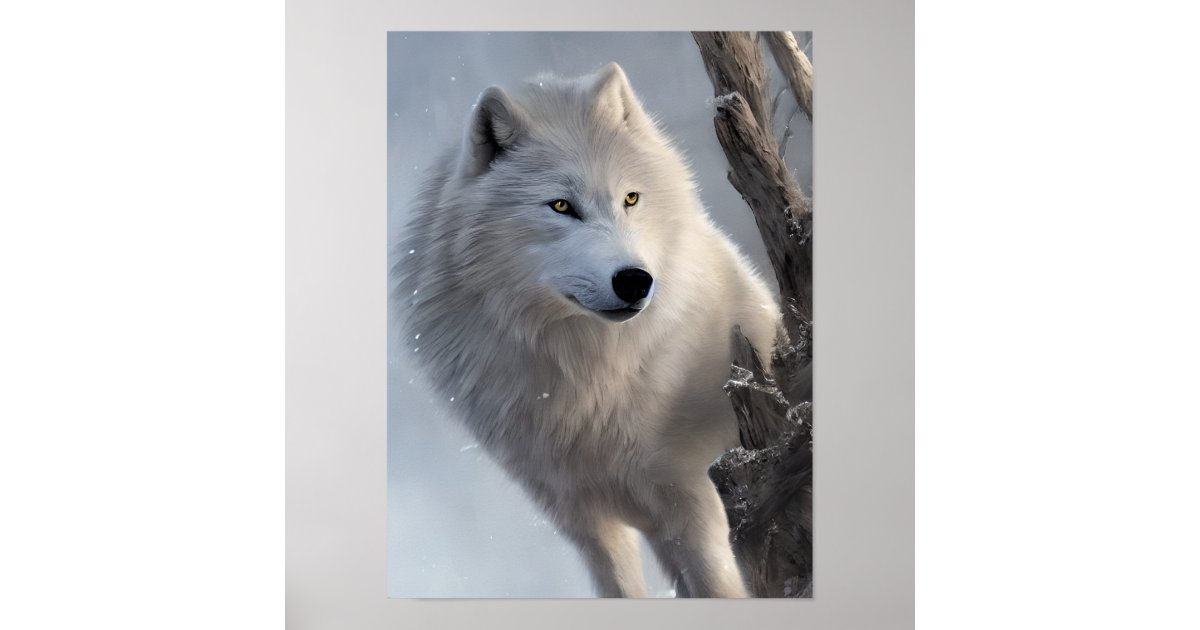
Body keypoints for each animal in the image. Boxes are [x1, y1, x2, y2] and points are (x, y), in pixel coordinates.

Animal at [391, 62, 780, 598]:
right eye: (560, 206)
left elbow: (721, 588)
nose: (635, 280)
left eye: (631, 198)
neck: (590, 375)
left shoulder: (693, 499)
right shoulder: (580, 518)